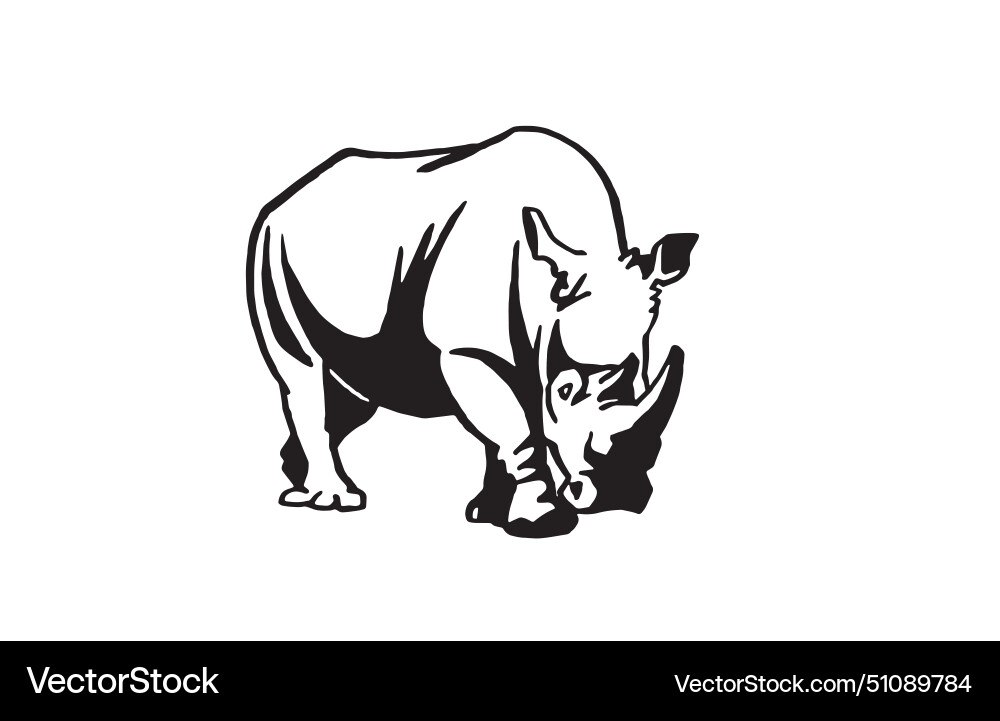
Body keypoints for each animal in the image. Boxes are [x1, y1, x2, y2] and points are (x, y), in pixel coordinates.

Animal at [247, 127, 697, 538]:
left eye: (638, 375)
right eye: (565, 390)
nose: (618, 495)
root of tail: (288, 195)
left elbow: (504, 430)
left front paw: (489, 512)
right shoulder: (471, 350)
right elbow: (515, 428)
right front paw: (541, 520)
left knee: (353, 390)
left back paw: (298, 486)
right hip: (268, 246)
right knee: (302, 371)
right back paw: (335, 500)